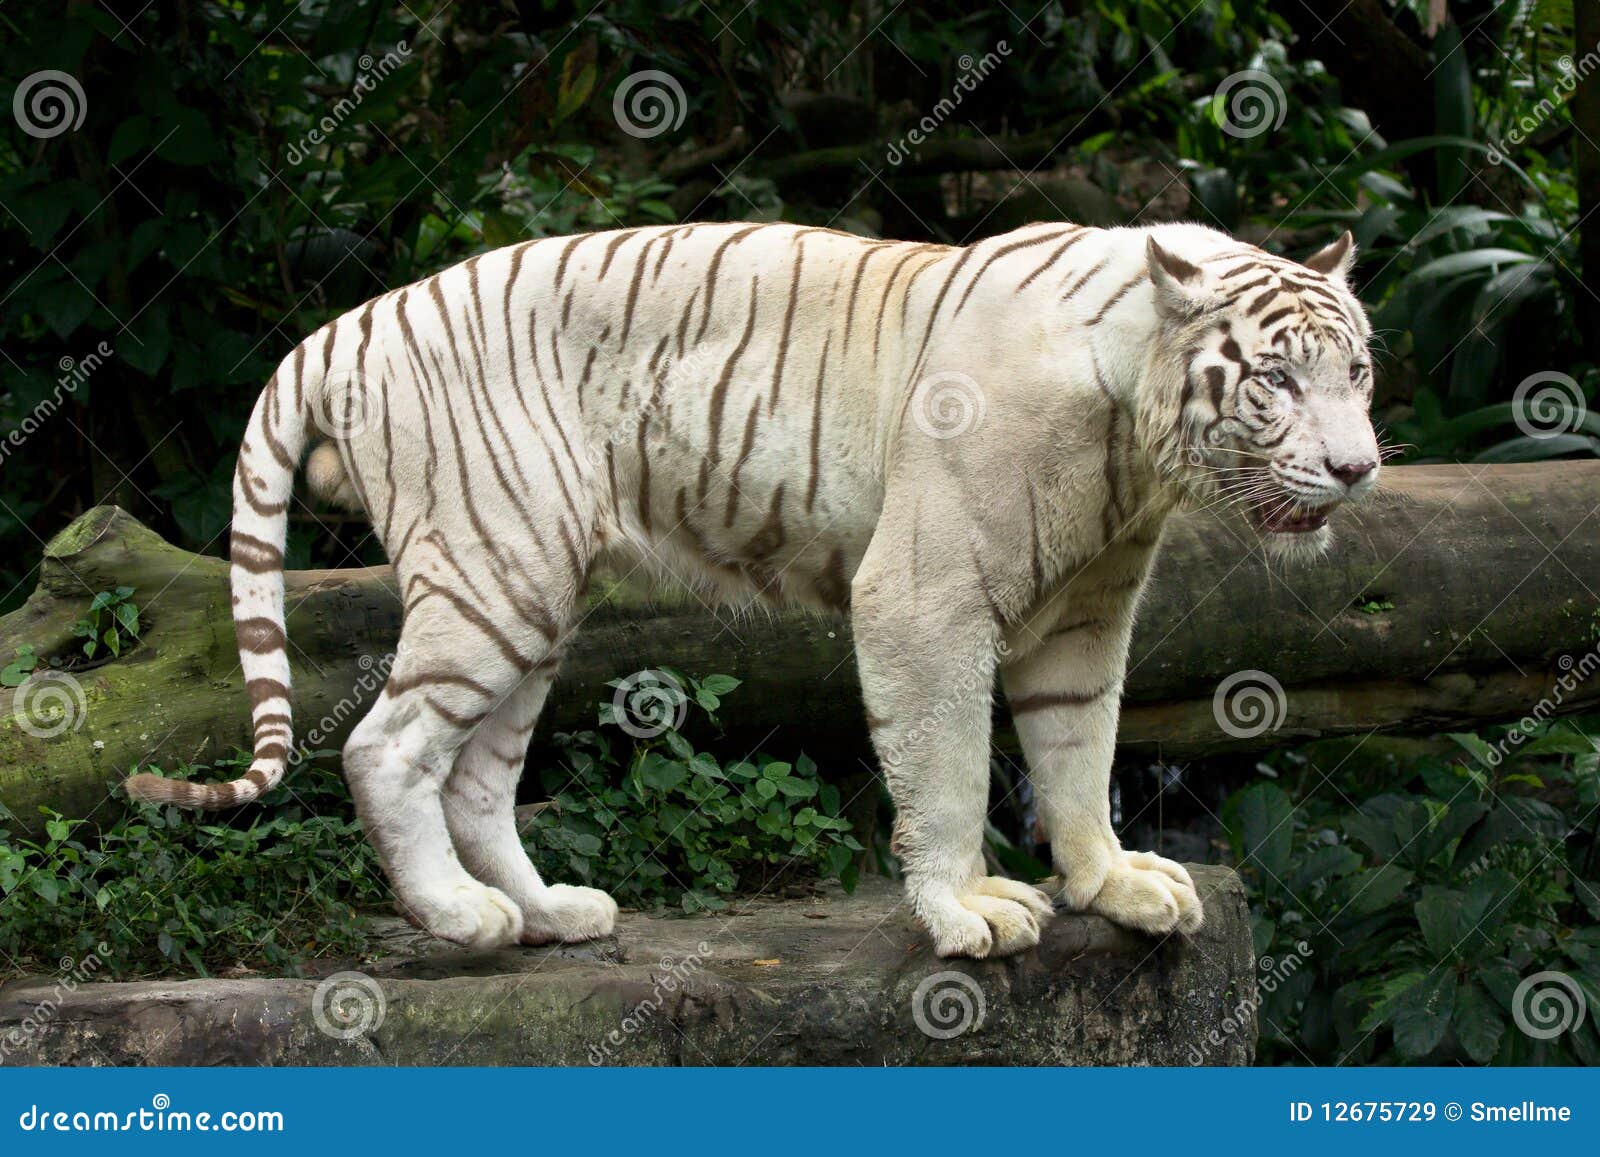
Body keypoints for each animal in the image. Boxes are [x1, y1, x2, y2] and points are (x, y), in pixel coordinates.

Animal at [124, 219, 1379, 959]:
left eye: (1357, 370)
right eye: (1274, 379)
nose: (1360, 468)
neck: (1137, 437)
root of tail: (343, 326)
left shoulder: (1084, 610)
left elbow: (1078, 751)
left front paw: (1113, 880)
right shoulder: (923, 593)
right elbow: (950, 766)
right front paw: (966, 908)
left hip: (535, 592)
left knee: (476, 775)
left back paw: (549, 914)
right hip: (494, 573)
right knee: (385, 746)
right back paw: (462, 918)